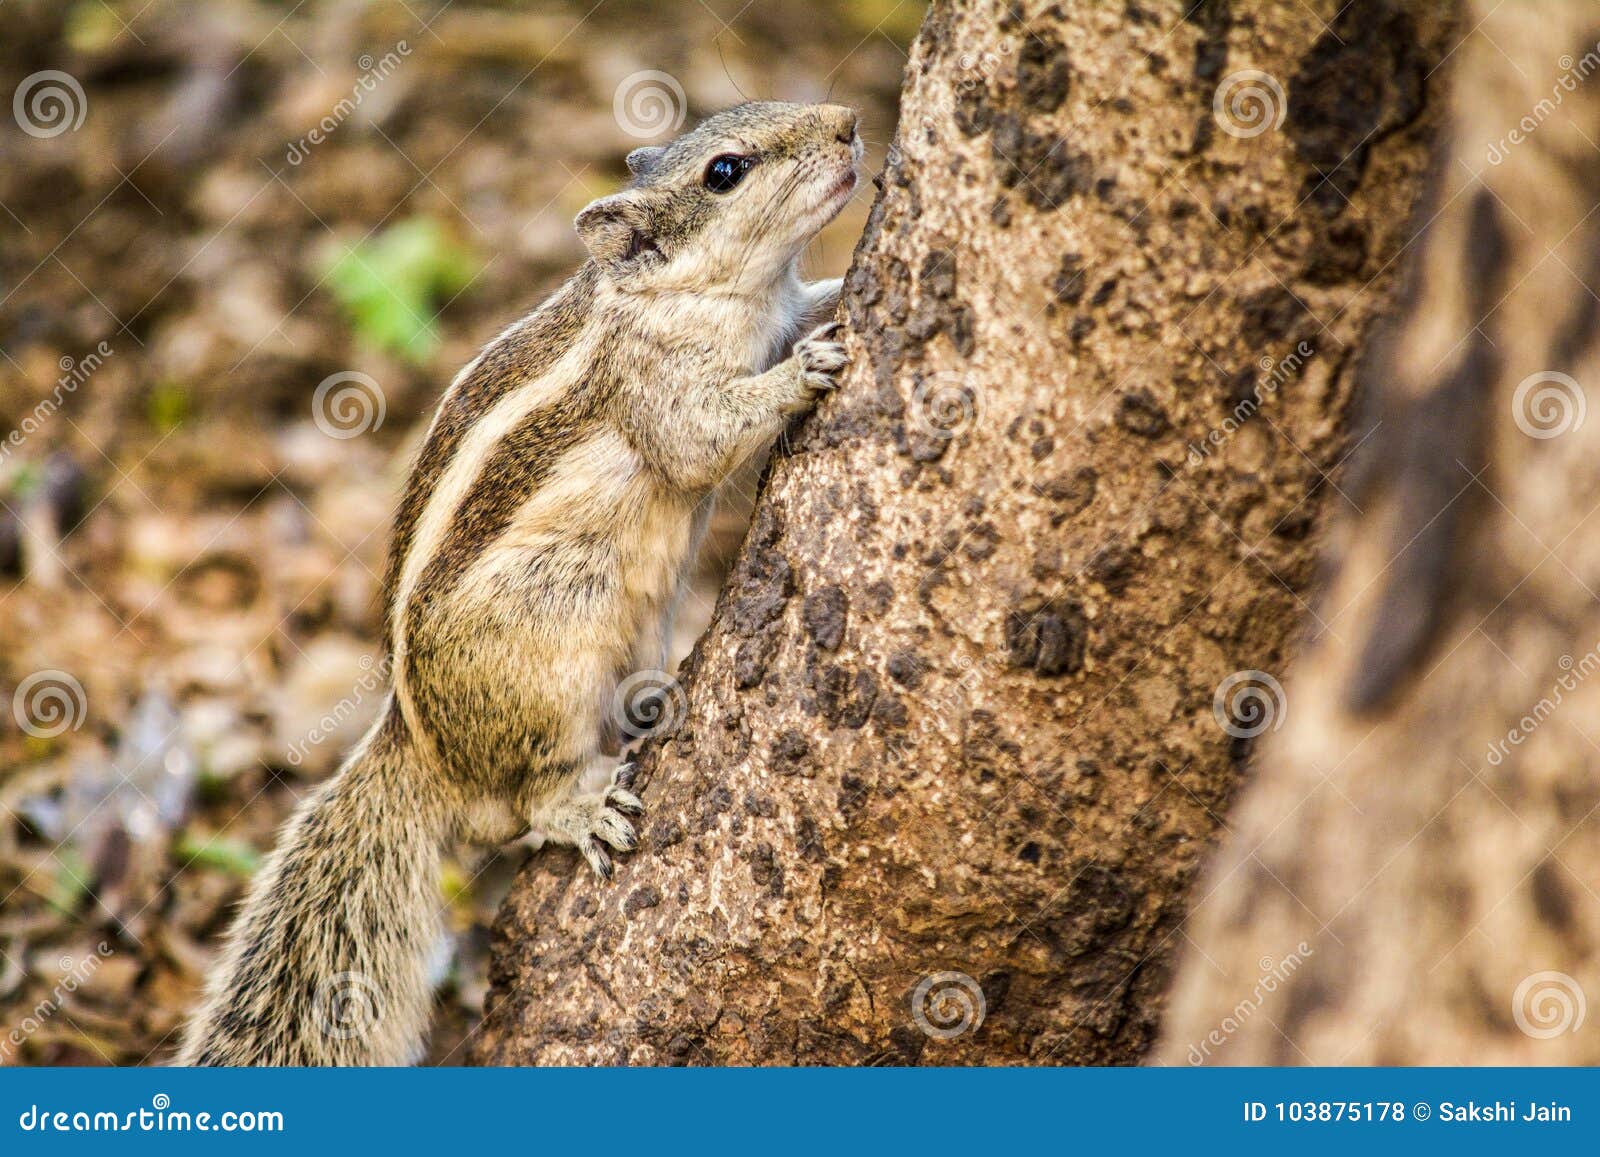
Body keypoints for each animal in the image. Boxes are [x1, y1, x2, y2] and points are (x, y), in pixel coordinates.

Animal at [176, 101, 861, 1065]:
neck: (670, 294)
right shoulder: (655, 385)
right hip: (546, 652)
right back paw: (580, 807)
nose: (849, 123)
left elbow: (809, 303)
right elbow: (703, 438)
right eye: (725, 171)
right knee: (519, 804)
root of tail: (421, 752)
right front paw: (800, 374)